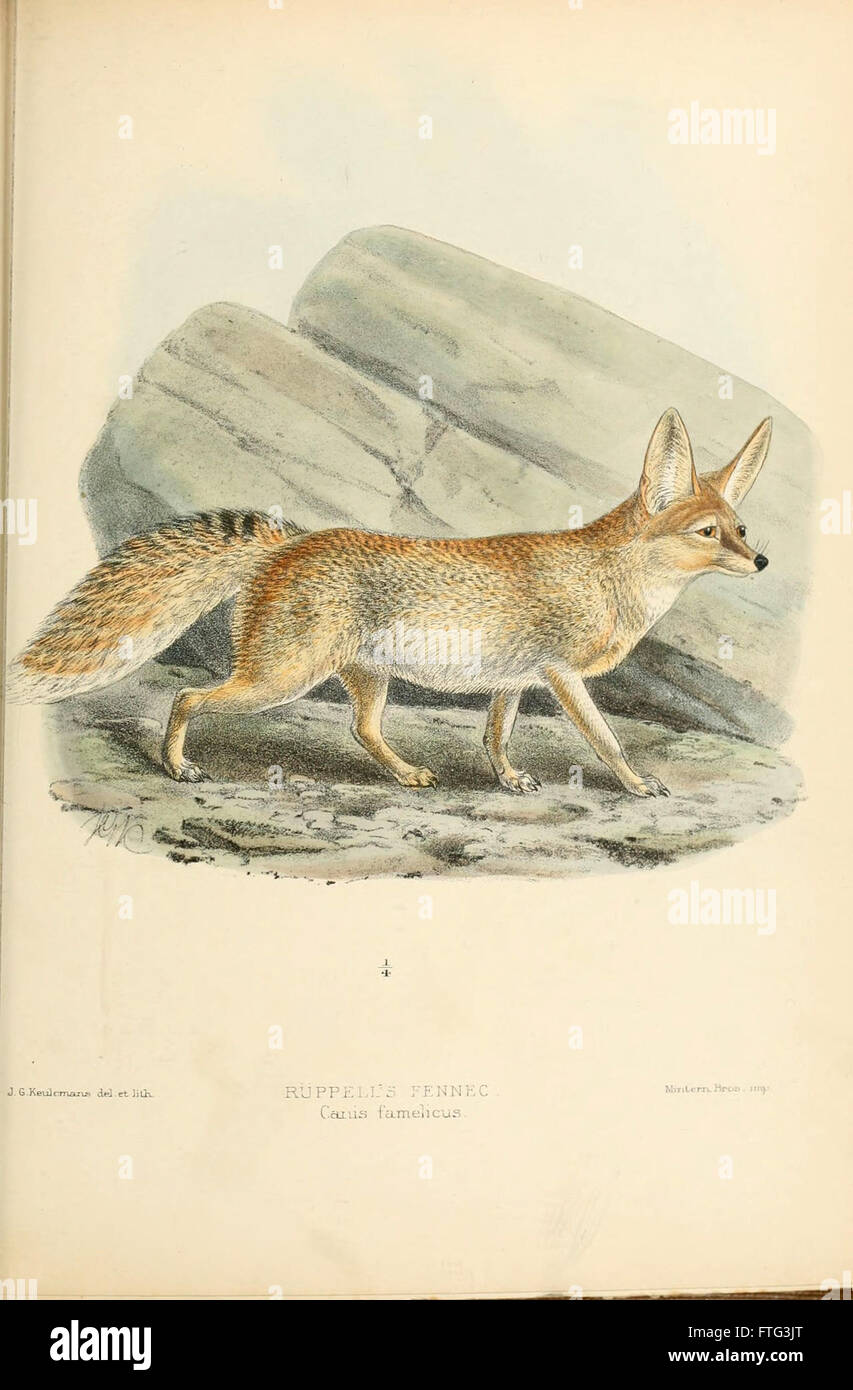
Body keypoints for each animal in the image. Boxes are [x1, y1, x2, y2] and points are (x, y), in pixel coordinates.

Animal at [8, 408, 772, 798]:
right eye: (709, 533)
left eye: (741, 527)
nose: (763, 561)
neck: (612, 575)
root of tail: (290, 541)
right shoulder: (561, 677)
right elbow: (607, 739)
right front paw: (637, 784)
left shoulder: (515, 680)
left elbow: (494, 736)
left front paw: (509, 778)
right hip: (280, 679)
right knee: (187, 697)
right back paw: (177, 766)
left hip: (362, 679)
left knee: (362, 731)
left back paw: (407, 774)